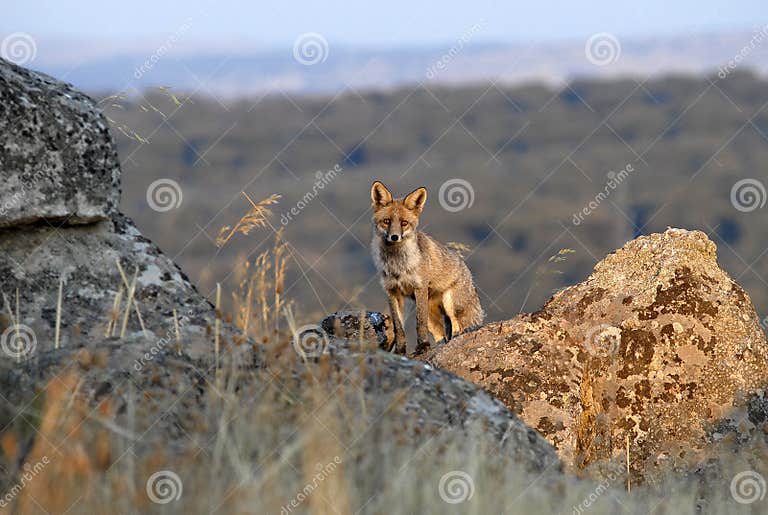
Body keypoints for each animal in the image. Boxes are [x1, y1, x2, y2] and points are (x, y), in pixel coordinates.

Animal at [370, 181, 484, 355]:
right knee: (442, 336)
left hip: (449, 303)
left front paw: (423, 345)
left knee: (457, 327)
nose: (394, 237)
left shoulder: (420, 288)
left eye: (404, 223)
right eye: (387, 221)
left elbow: (419, 323)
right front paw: (400, 351)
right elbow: (398, 327)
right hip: (432, 315)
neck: (397, 265)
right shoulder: (392, 292)